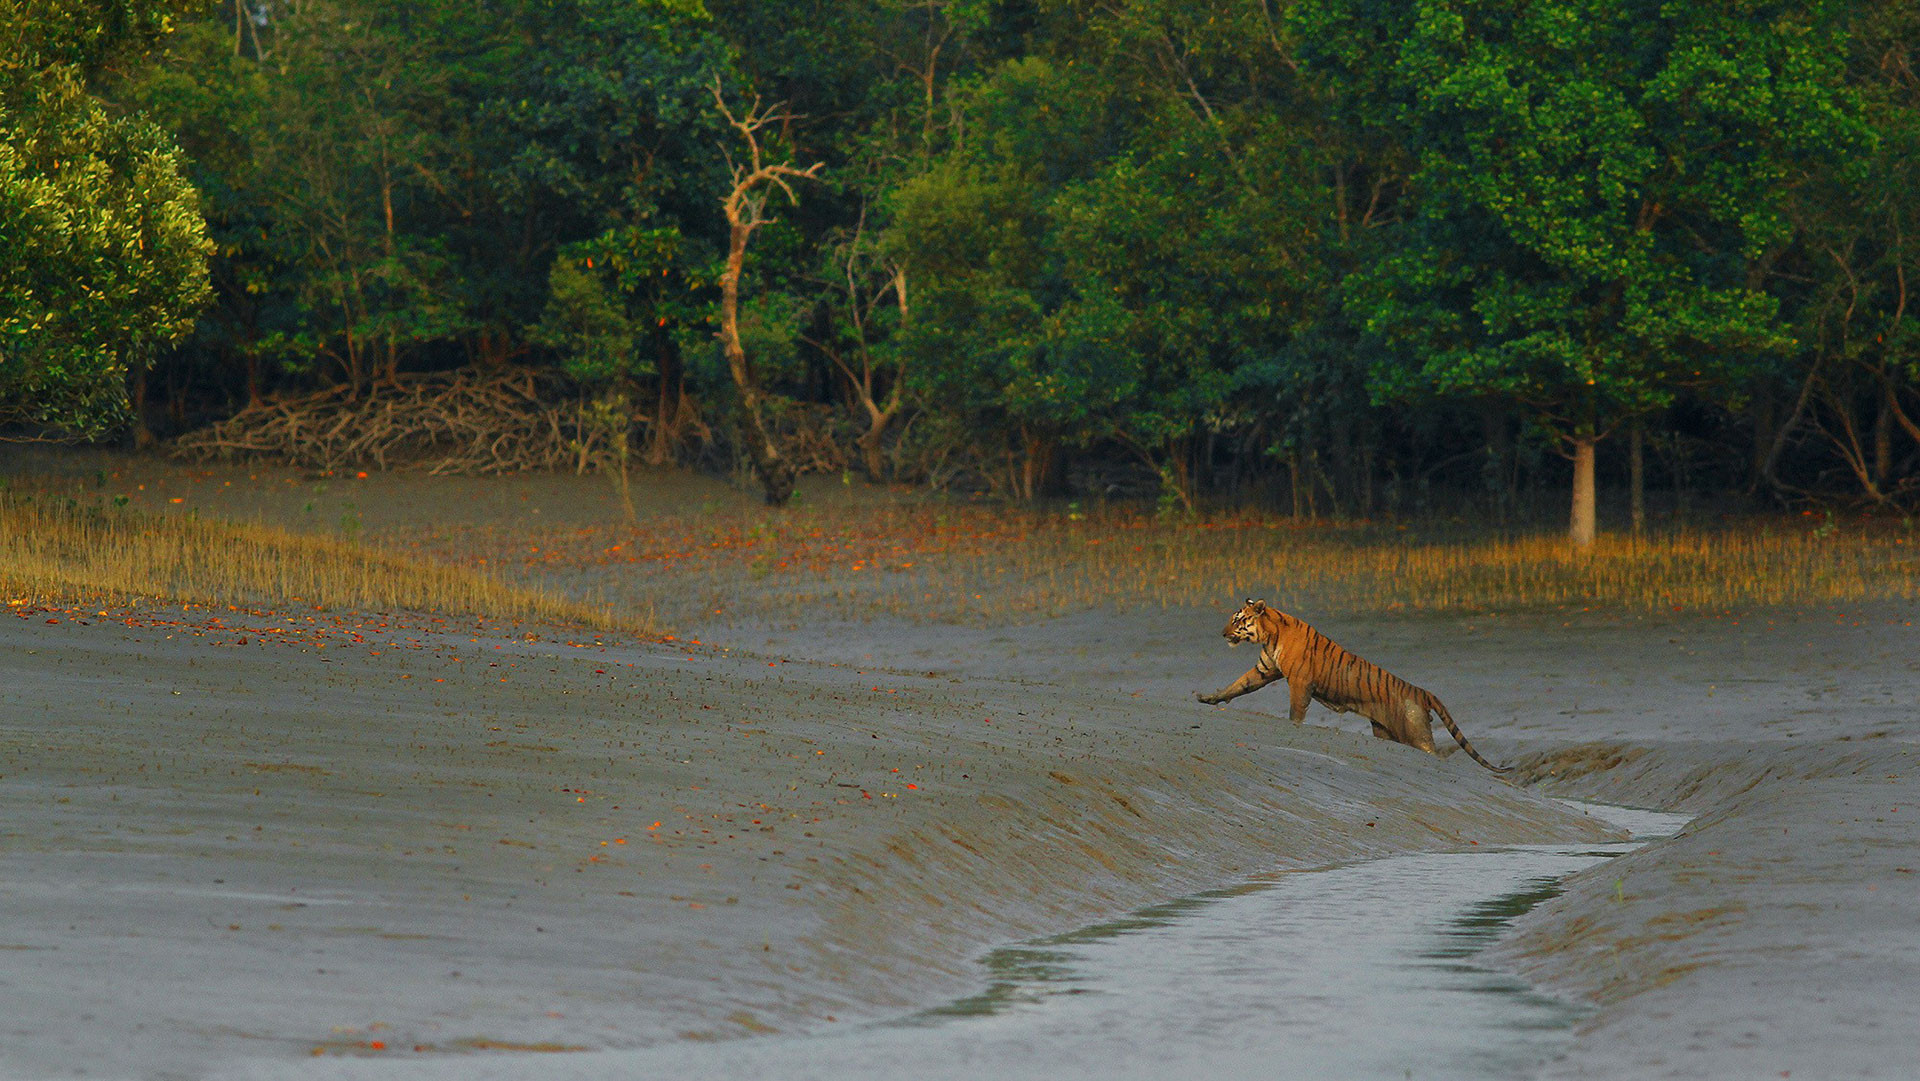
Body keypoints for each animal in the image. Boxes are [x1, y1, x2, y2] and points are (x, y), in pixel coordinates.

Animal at [1195, 599, 1510, 773]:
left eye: (1238, 620)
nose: (1222, 633)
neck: (1269, 635)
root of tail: (1421, 690)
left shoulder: (1299, 683)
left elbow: (1295, 712)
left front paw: (1293, 727)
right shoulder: (1263, 670)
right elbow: (1236, 686)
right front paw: (1207, 698)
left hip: (1415, 733)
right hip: (1385, 731)